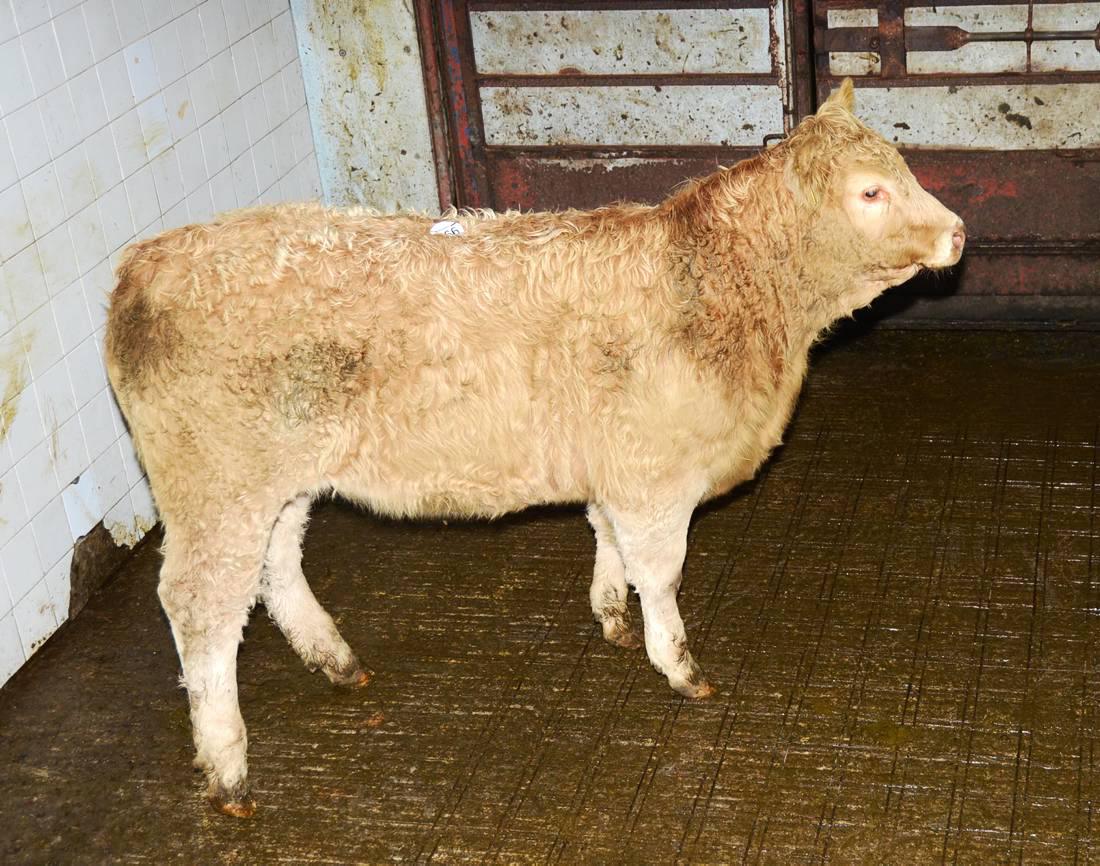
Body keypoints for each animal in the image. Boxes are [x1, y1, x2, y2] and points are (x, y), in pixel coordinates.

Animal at [104, 80, 964, 816]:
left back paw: (334, 659)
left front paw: (611, 614)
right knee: (202, 607)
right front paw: (677, 664)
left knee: (274, 567)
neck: (728, 292)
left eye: (903, 169)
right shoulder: (654, 475)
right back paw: (227, 763)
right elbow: (661, 572)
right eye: (871, 191)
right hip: (217, 487)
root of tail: (148, 261)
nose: (958, 231)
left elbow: (607, 538)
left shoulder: (616, 466)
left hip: (278, 482)